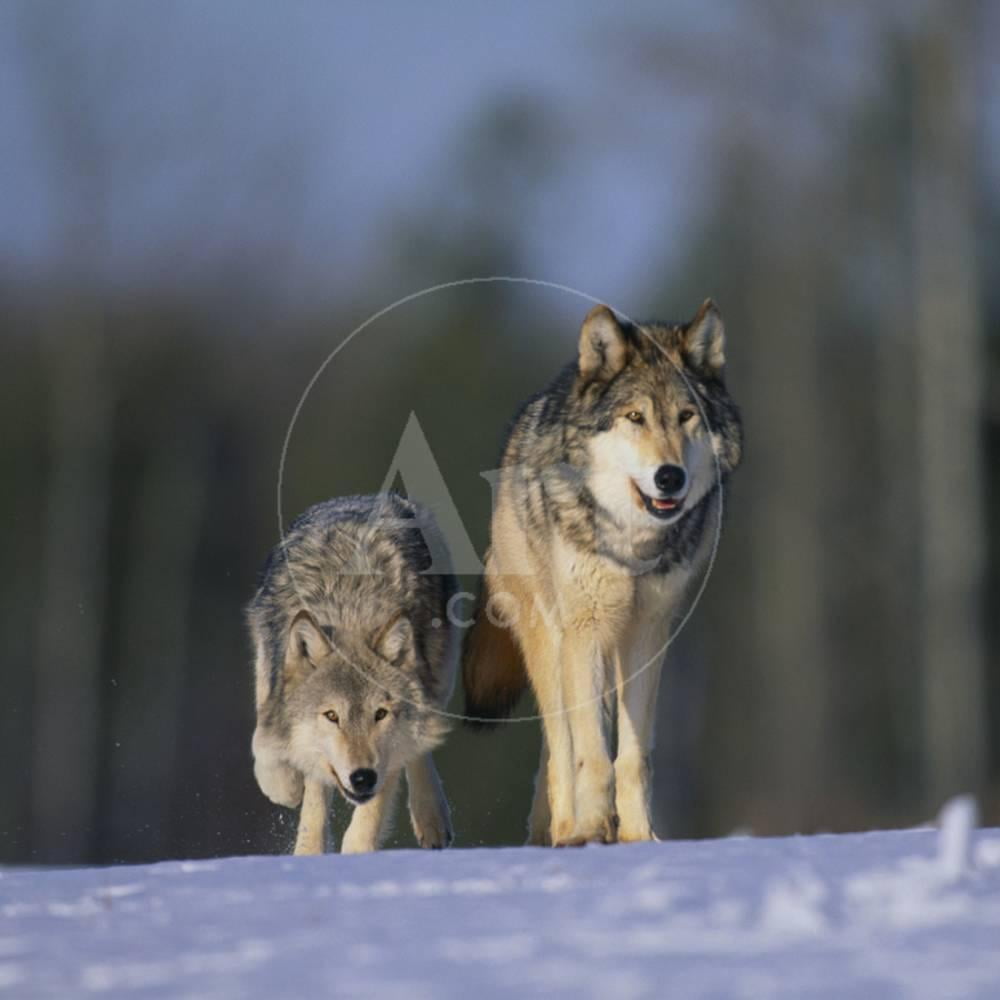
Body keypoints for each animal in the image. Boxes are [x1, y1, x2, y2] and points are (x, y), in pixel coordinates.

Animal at [247, 493, 458, 855]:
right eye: (332, 715)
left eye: (381, 714)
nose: (362, 777)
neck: (351, 609)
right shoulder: (269, 686)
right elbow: (269, 755)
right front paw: (290, 790)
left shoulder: (386, 758)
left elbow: (365, 824)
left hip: (440, 675)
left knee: (422, 742)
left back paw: (432, 820)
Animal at [463, 300, 742, 846]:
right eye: (635, 418)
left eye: (686, 416)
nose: (669, 476)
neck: (634, 543)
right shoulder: (585, 630)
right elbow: (589, 751)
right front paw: (590, 829)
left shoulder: (649, 634)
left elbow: (632, 757)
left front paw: (638, 837)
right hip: (552, 643)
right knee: (561, 745)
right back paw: (566, 828)